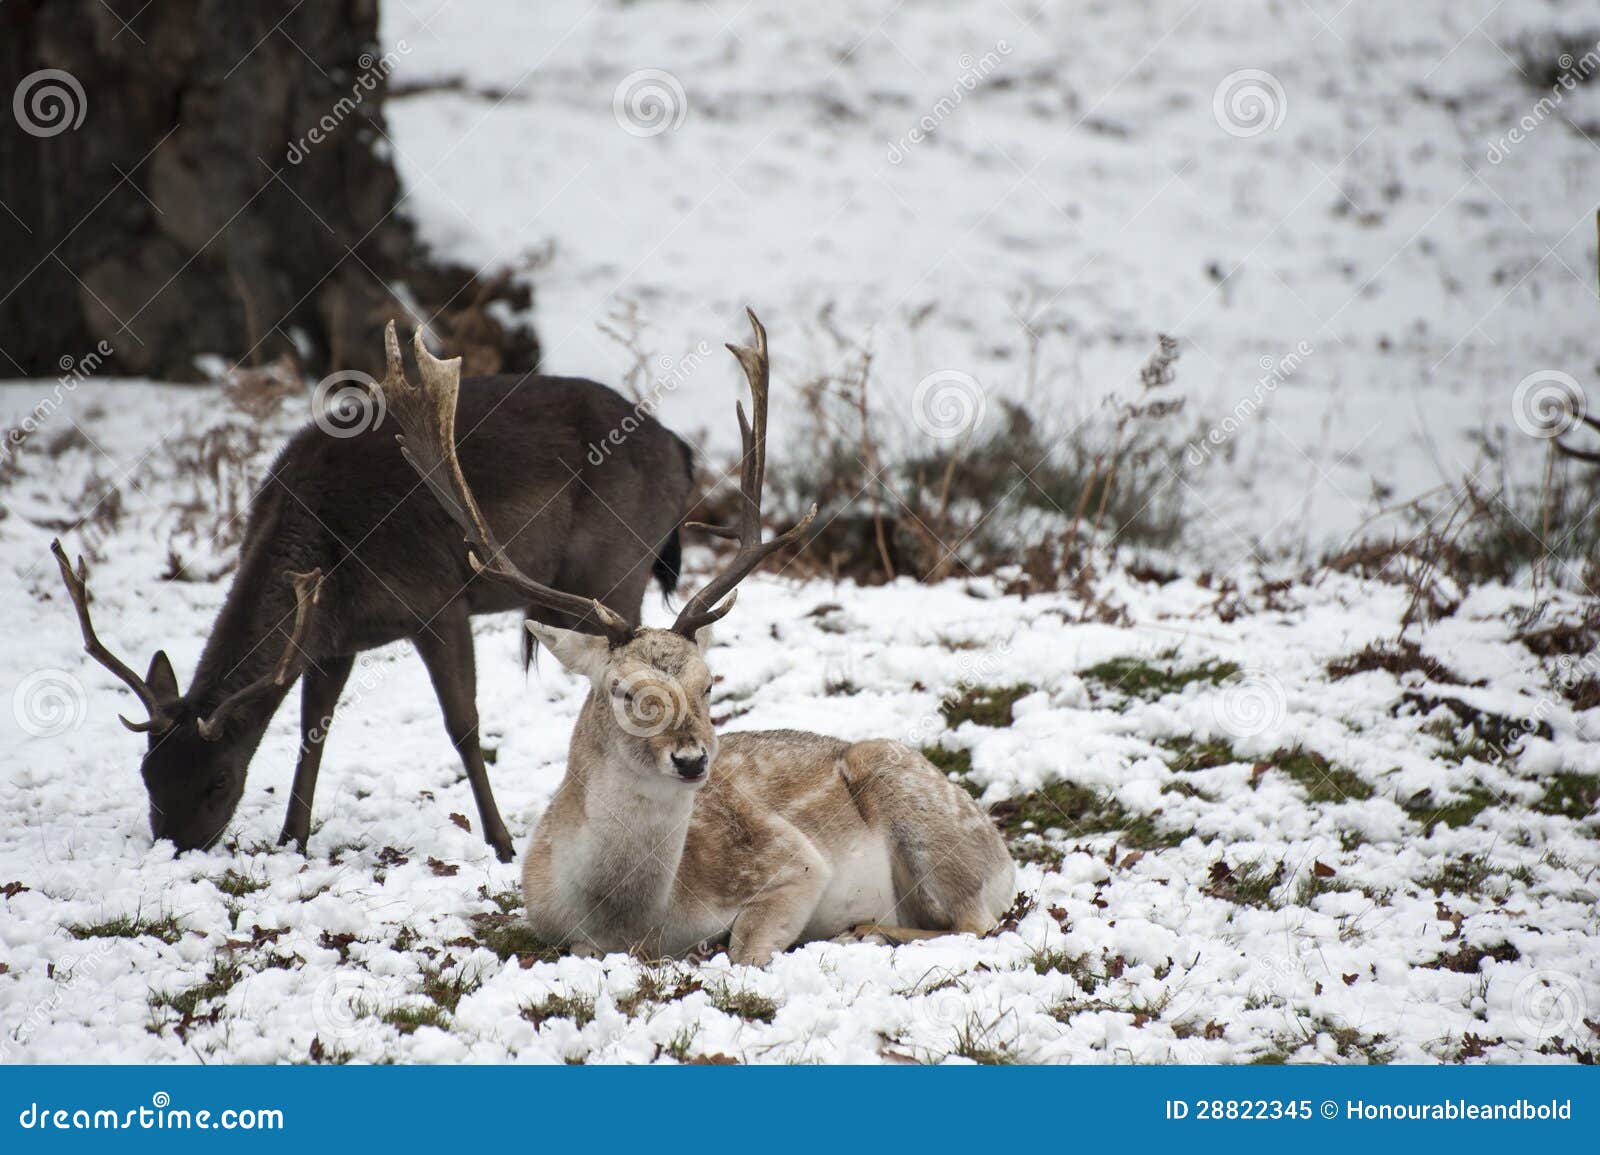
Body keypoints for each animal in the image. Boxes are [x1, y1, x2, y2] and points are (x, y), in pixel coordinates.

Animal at [50, 348, 695, 862]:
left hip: (616, 568)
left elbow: (463, 726)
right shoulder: (332, 641)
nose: (174, 848)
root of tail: (681, 449)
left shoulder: (438, 601)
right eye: (147, 775)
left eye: (219, 781)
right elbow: (313, 727)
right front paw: (291, 839)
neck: (332, 557)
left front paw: (502, 843)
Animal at [386, 309, 1015, 964]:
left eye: (709, 684)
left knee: (976, 922)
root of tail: (1005, 855)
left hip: (917, 805)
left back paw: (868, 929)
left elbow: (744, 945)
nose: (692, 760)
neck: (632, 921)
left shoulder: (795, 863)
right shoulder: (551, 924)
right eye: (622, 690)